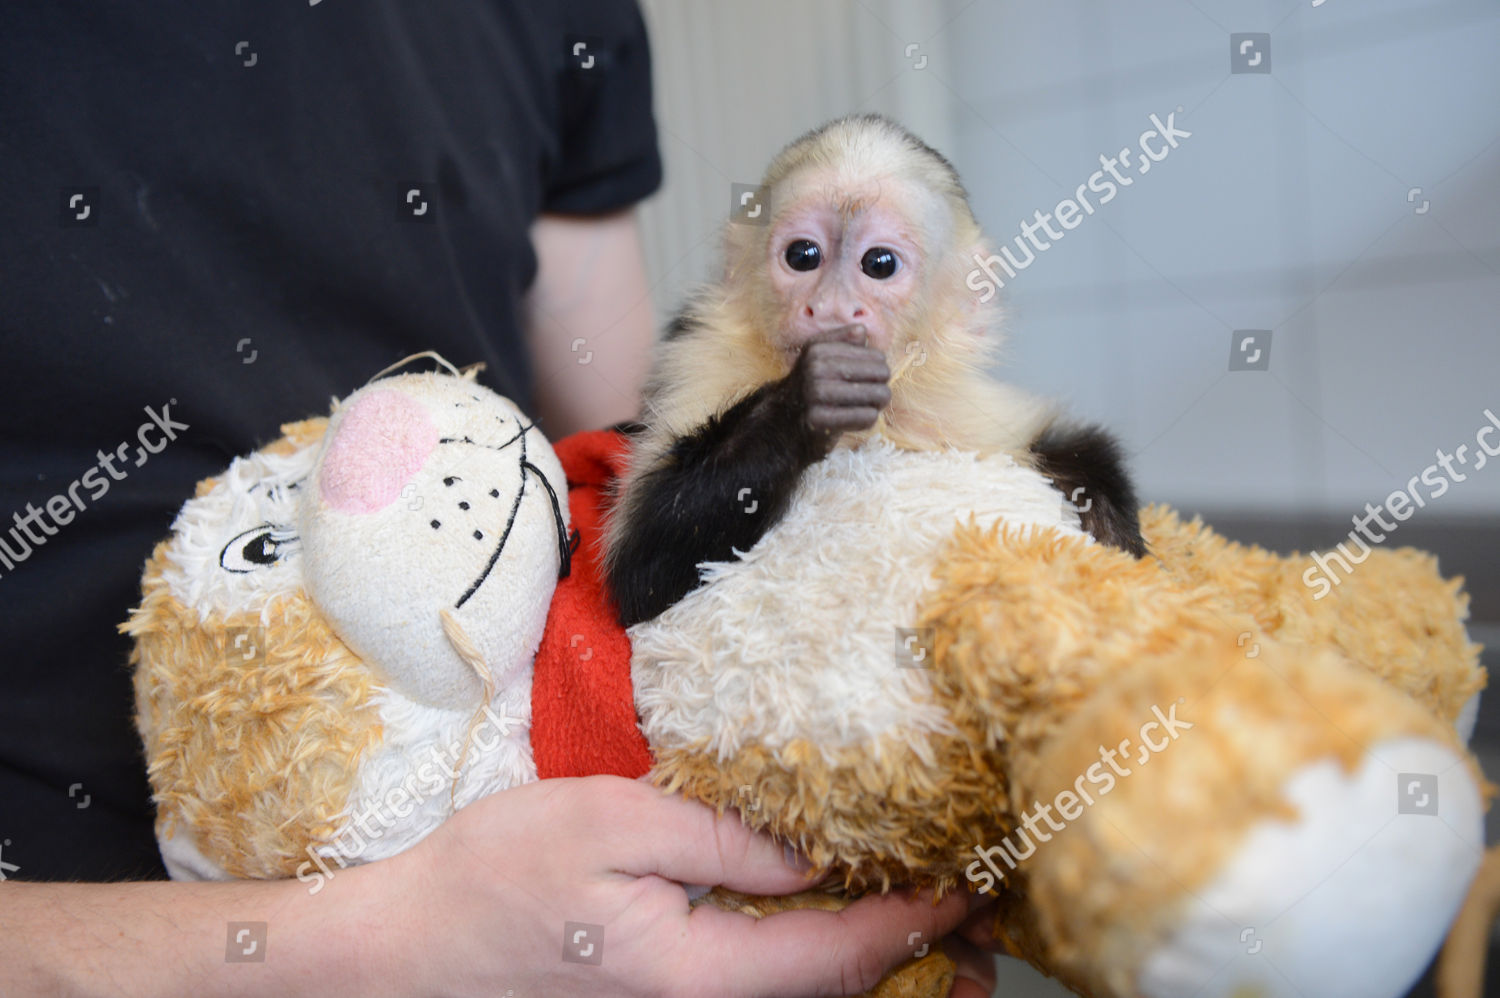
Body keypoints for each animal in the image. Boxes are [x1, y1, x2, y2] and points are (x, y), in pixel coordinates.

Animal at [605, 114, 1142, 627]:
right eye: (802, 256)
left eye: (878, 263)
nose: (831, 306)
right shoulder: (703, 358)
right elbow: (640, 574)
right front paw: (807, 400)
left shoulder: (954, 408)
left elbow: (1057, 444)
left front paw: (1120, 553)